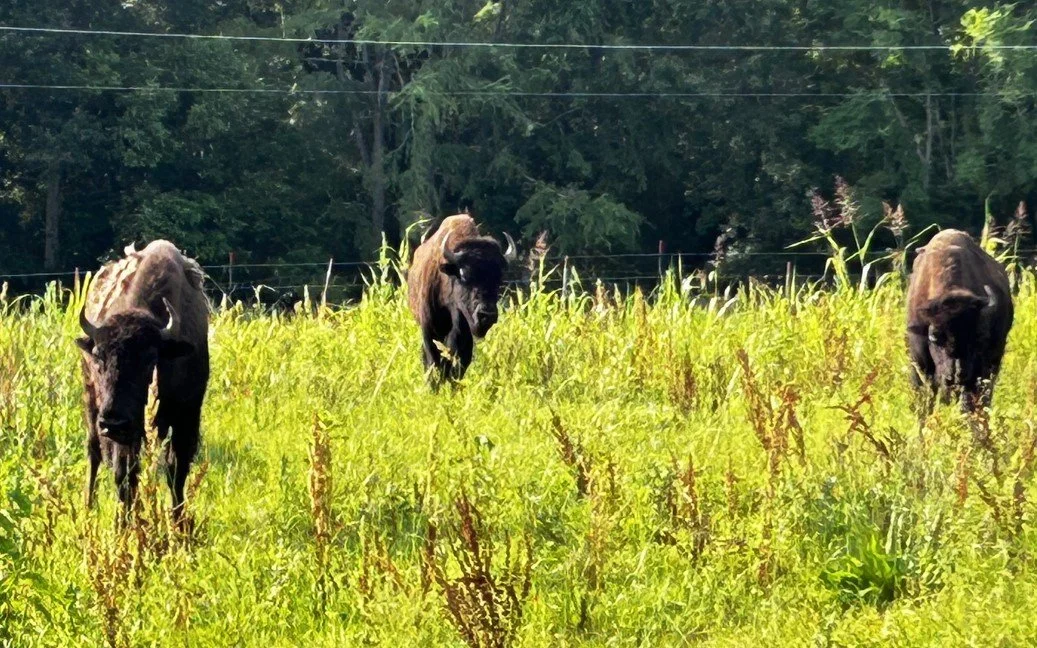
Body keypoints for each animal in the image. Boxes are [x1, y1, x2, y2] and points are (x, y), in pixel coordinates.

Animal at [77, 240, 209, 521]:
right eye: (99, 356)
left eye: (150, 359)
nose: (113, 422)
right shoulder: (127, 431)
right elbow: (124, 475)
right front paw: (125, 524)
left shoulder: (186, 413)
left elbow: (176, 471)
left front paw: (180, 523)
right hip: (91, 402)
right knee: (94, 451)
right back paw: (88, 507)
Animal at [407, 214, 516, 383]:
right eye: (464, 275)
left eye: (499, 279)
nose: (487, 315)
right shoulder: (429, 330)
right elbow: (433, 363)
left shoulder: (463, 335)